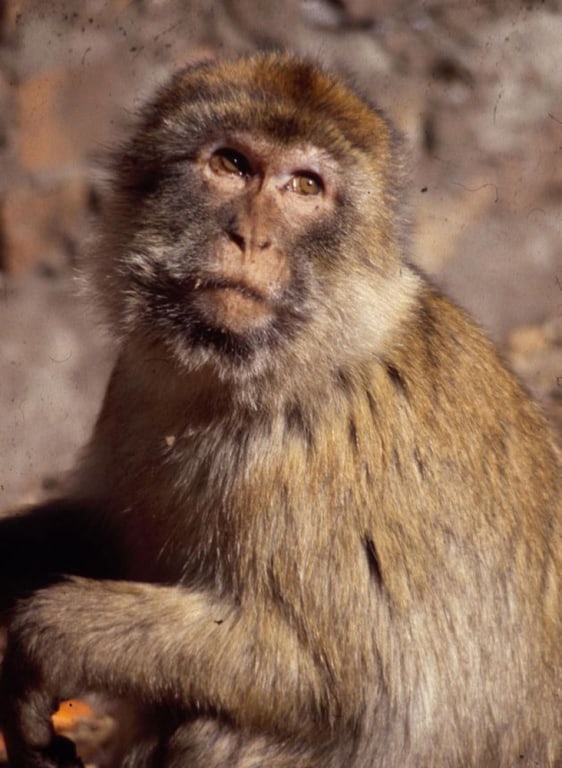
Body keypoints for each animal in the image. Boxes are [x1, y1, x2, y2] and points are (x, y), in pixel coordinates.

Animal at [0, 51, 560, 768]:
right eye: (233, 163)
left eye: (304, 186)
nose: (251, 237)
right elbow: (106, 527)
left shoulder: (316, 463)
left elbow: (339, 685)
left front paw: (47, 636)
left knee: (221, 731)